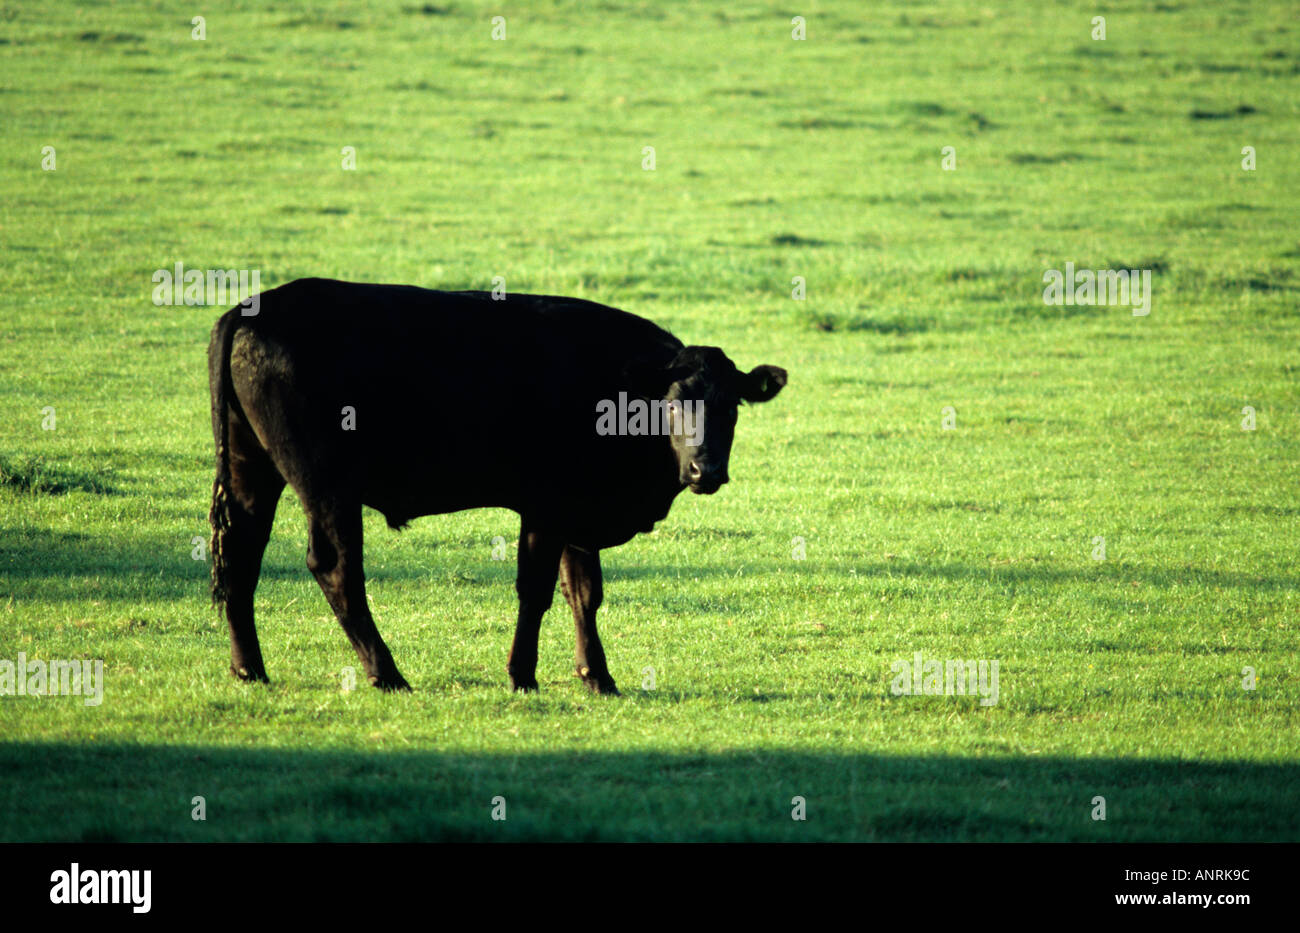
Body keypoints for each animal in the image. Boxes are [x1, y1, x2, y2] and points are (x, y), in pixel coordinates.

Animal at [208, 278, 787, 694]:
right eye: (673, 402)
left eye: (731, 405)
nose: (705, 470)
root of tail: (255, 307)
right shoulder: (548, 506)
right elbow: (536, 591)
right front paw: (522, 675)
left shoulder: (578, 510)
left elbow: (584, 593)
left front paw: (598, 677)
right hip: (325, 485)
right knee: (336, 569)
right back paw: (386, 674)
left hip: (252, 469)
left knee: (241, 556)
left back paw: (249, 669)